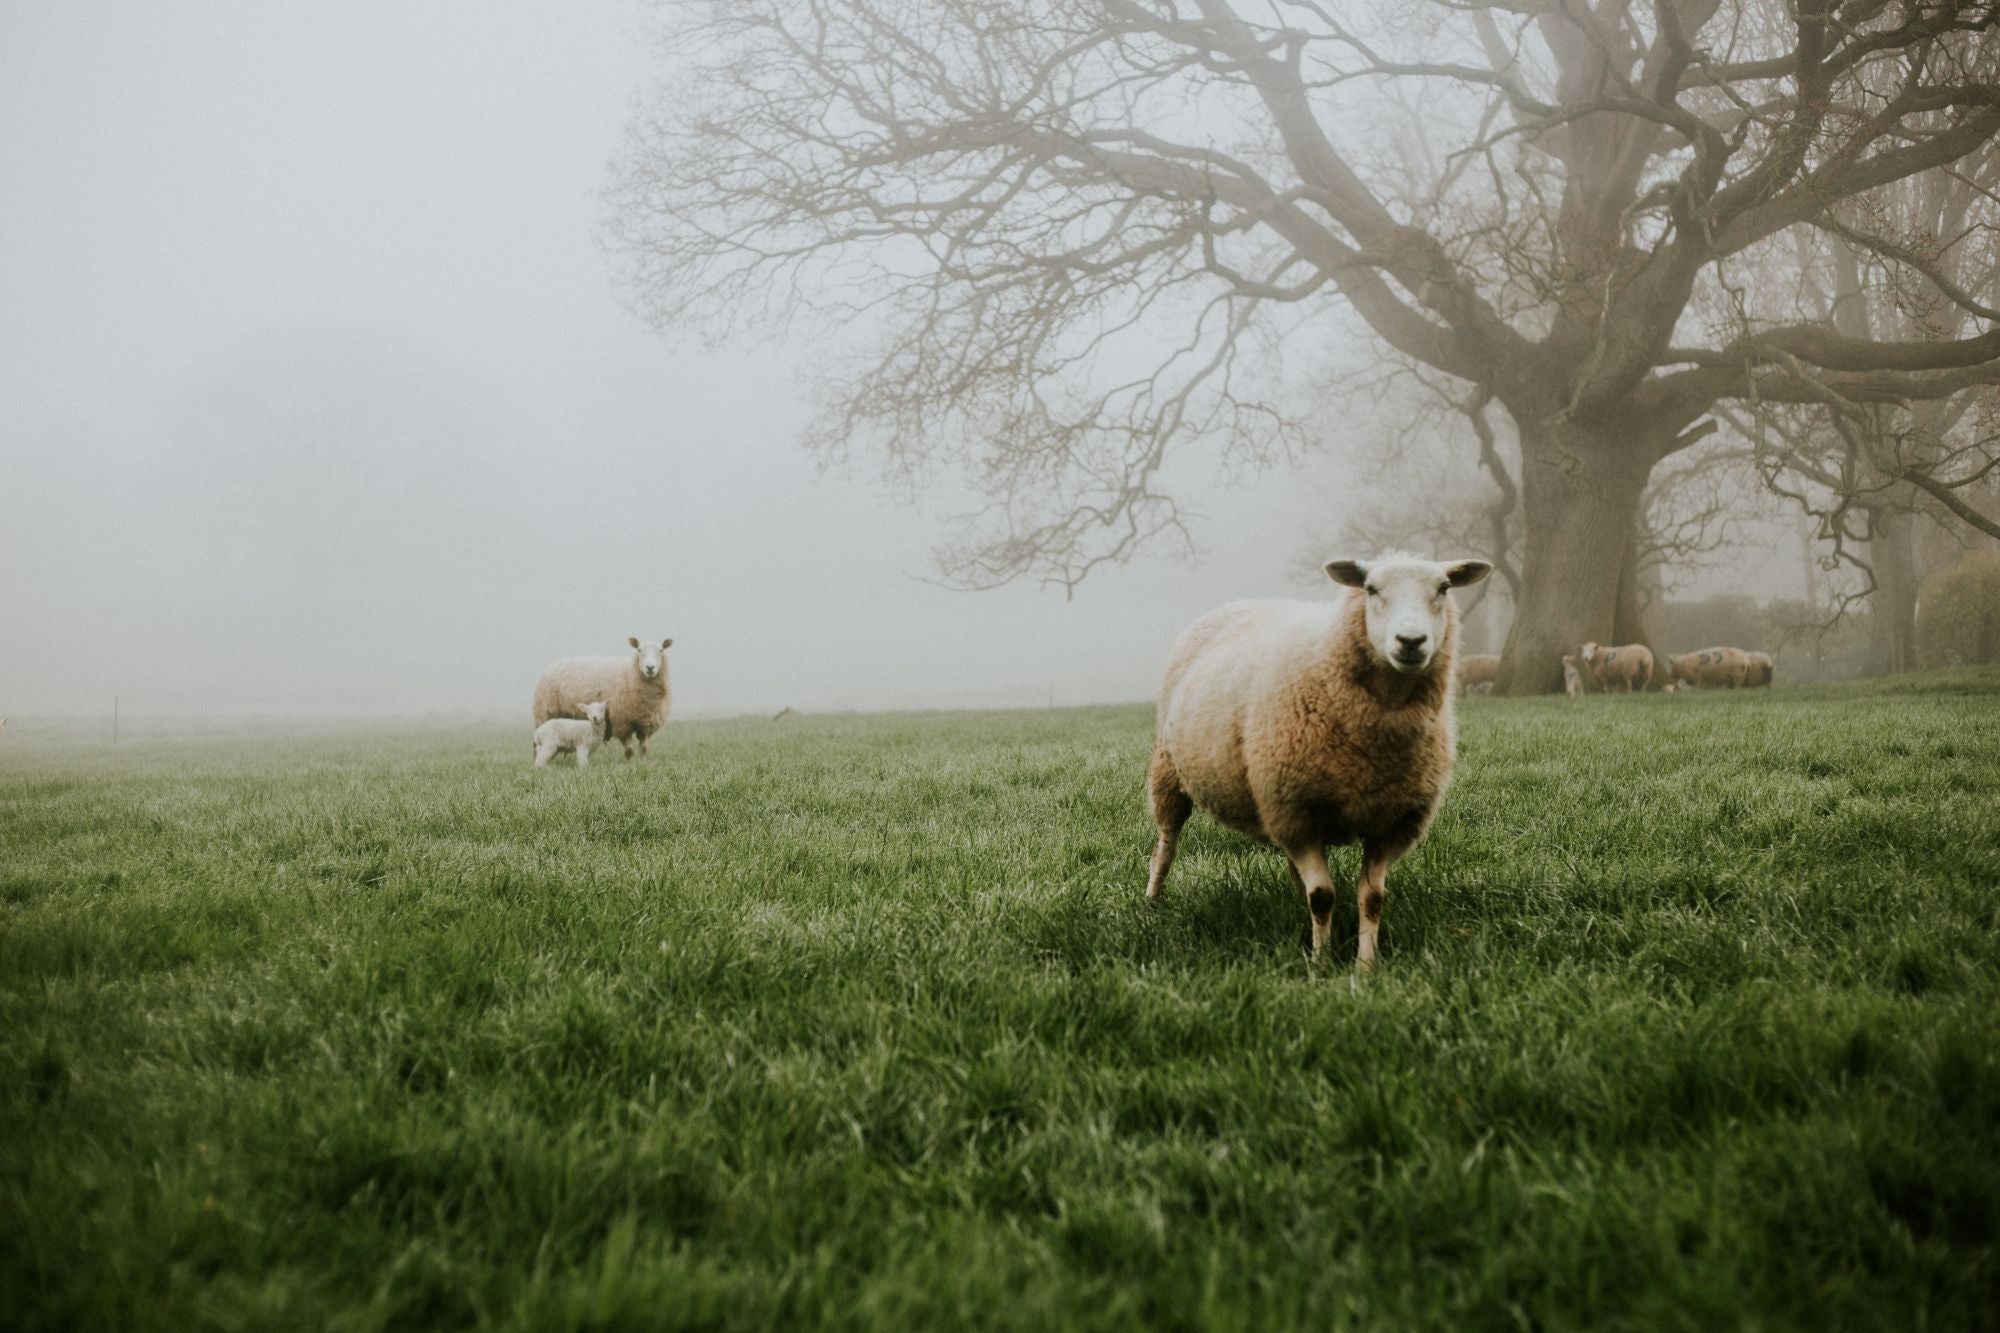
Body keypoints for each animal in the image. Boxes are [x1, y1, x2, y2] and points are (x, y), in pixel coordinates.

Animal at [533, 636, 674, 759]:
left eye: (661, 650)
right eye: (639, 650)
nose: (650, 667)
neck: (628, 674)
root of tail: (553, 664)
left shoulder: (646, 725)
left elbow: (644, 749)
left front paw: (642, 765)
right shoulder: (622, 723)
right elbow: (629, 751)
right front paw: (631, 766)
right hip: (543, 715)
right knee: (537, 744)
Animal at [1145, 551, 1492, 970]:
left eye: (1443, 588)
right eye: (1371, 589)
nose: (1411, 641)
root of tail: (1236, 604)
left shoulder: (1388, 822)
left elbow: (1372, 898)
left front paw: (1365, 966)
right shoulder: (1298, 812)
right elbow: (1323, 896)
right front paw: (1321, 962)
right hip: (1171, 773)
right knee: (1166, 846)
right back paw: (1152, 902)